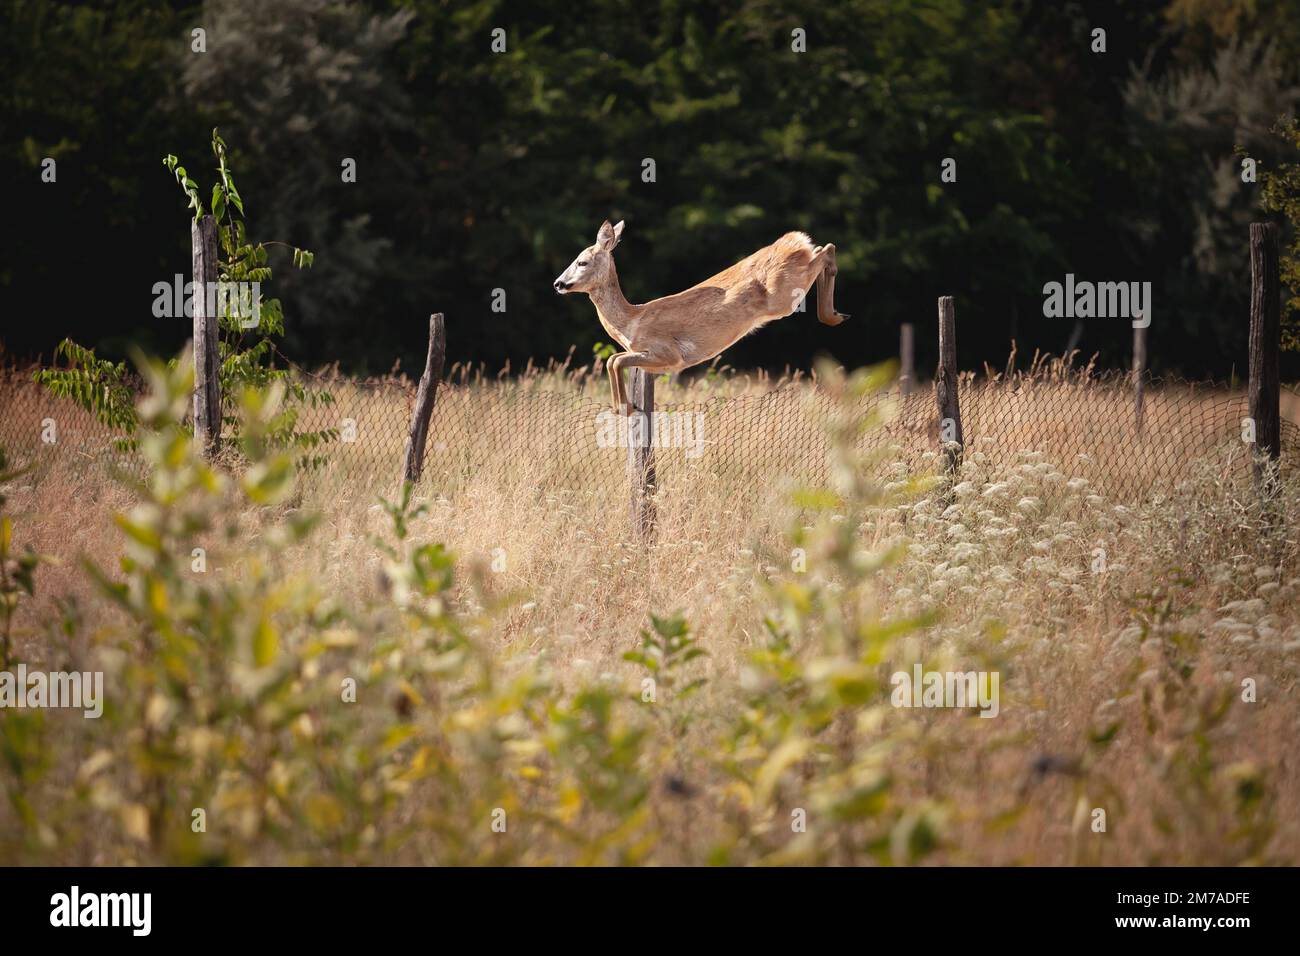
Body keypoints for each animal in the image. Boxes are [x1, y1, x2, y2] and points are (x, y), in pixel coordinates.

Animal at [554, 220, 848, 413]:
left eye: (582, 262)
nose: (558, 283)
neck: (631, 321)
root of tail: (795, 241)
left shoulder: (669, 354)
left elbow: (614, 360)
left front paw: (624, 407)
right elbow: (613, 359)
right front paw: (621, 407)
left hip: (784, 295)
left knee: (827, 250)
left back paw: (832, 315)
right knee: (823, 249)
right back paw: (837, 314)